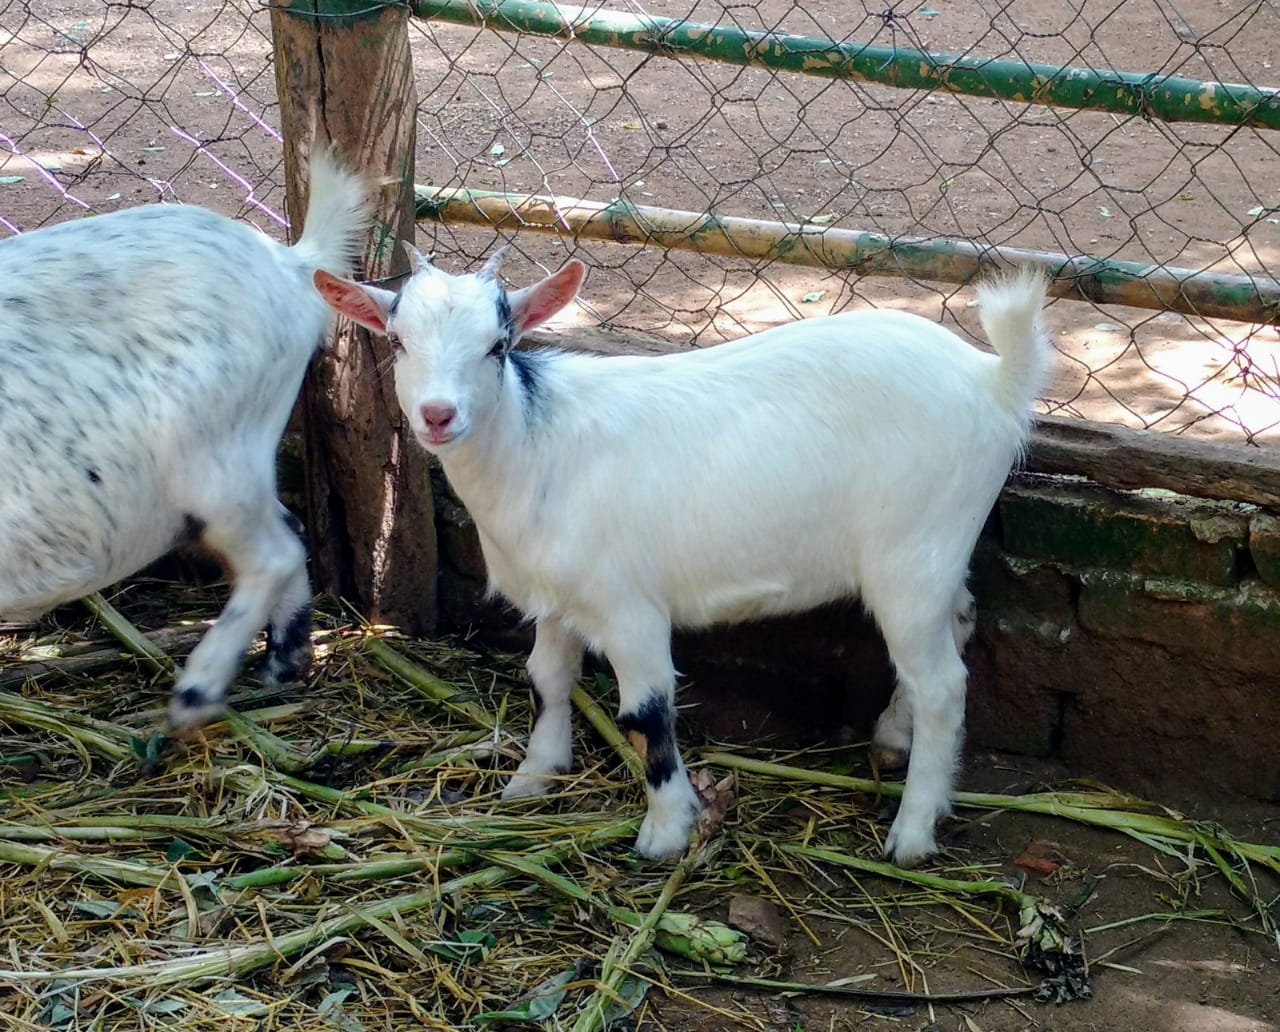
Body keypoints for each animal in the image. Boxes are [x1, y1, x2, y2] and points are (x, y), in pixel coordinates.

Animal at [0, 152, 370, 729]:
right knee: (288, 530)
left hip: (215, 454)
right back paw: (281, 665)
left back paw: (199, 690)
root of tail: (290, 264)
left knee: (274, 552)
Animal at [314, 250, 1051, 866]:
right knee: (957, 623)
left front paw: (666, 831)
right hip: (936, 553)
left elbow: (646, 712)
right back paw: (895, 737)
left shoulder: (628, 607)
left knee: (943, 685)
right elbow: (545, 676)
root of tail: (994, 379)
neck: (535, 448)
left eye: (499, 346)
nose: (439, 415)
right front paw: (534, 774)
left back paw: (913, 833)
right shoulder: (557, 596)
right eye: (397, 341)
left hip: (911, 556)